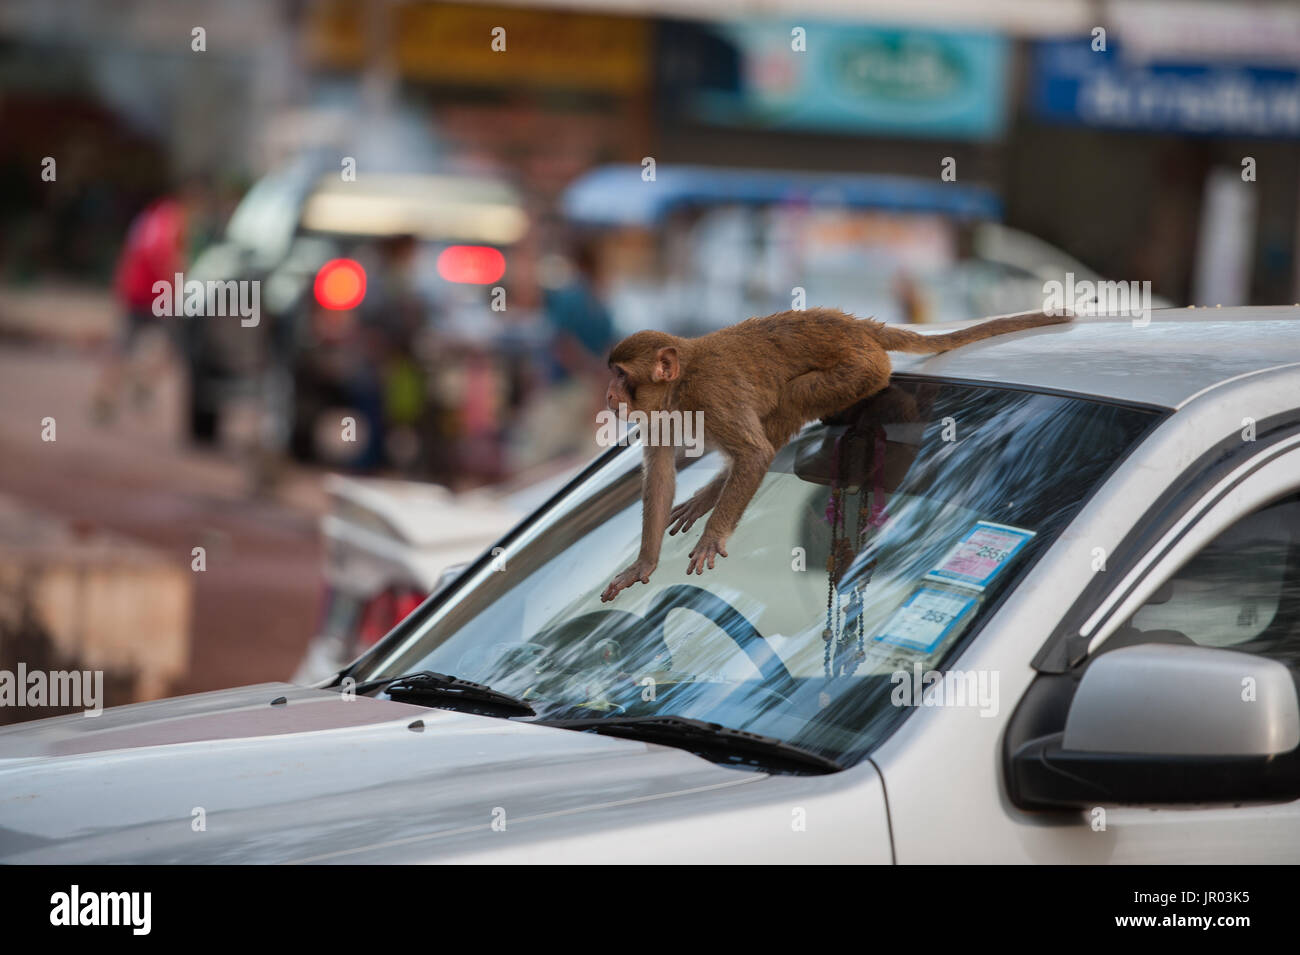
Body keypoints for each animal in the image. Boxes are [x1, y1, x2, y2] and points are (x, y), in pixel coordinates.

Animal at [599, 307, 1070, 602]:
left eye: (621, 376)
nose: (608, 395)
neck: (679, 388)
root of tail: (856, 326)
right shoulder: (659, 416)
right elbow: (661, 475)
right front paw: (644, 563)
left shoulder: (711, 396)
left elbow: (754, 454)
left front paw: (714, 536)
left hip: (862, 368)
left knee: (792, 400)